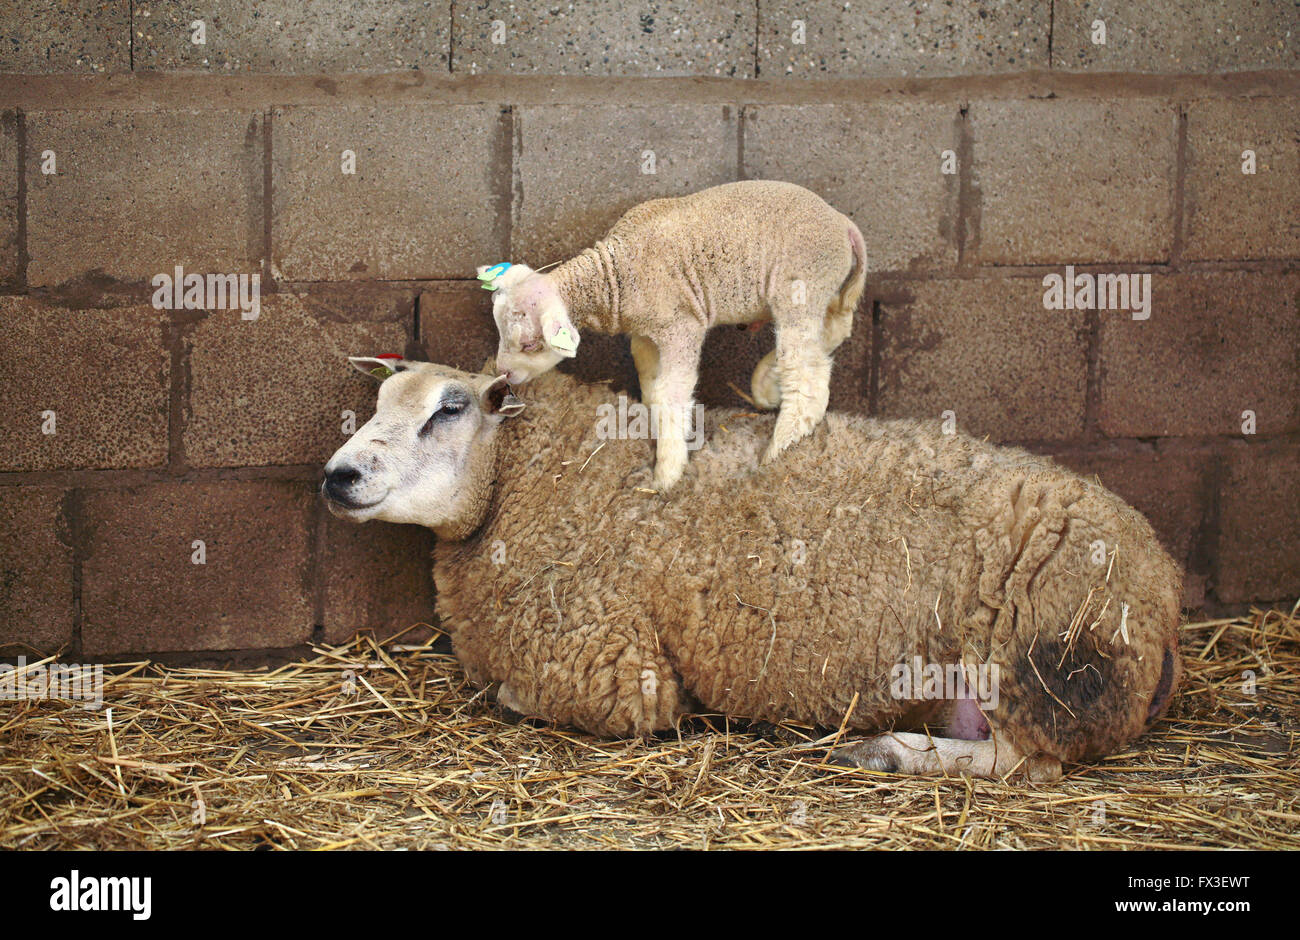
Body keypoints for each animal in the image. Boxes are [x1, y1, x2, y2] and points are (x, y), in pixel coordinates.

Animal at [322, 358, 1184, 781]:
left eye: (450, 408)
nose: (338, 476)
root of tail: (1166, 600)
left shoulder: (615, 672)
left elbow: (509, 696)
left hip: (1040, 662)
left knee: (1028, 764)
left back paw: (888, 753)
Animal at [480, 179, 868, 491]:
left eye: (530, 344)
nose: (504, 373)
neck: (614, 276)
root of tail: (844, 224)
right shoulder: (646, 335)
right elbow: (653, 386)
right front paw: (660, 435)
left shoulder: (682, 326)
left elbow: (673, 392)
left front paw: (667, 474)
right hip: (822, 293)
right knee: (832, 332)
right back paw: (766, 383)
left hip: (801, 287)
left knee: (805, 374)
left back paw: (779, 450)